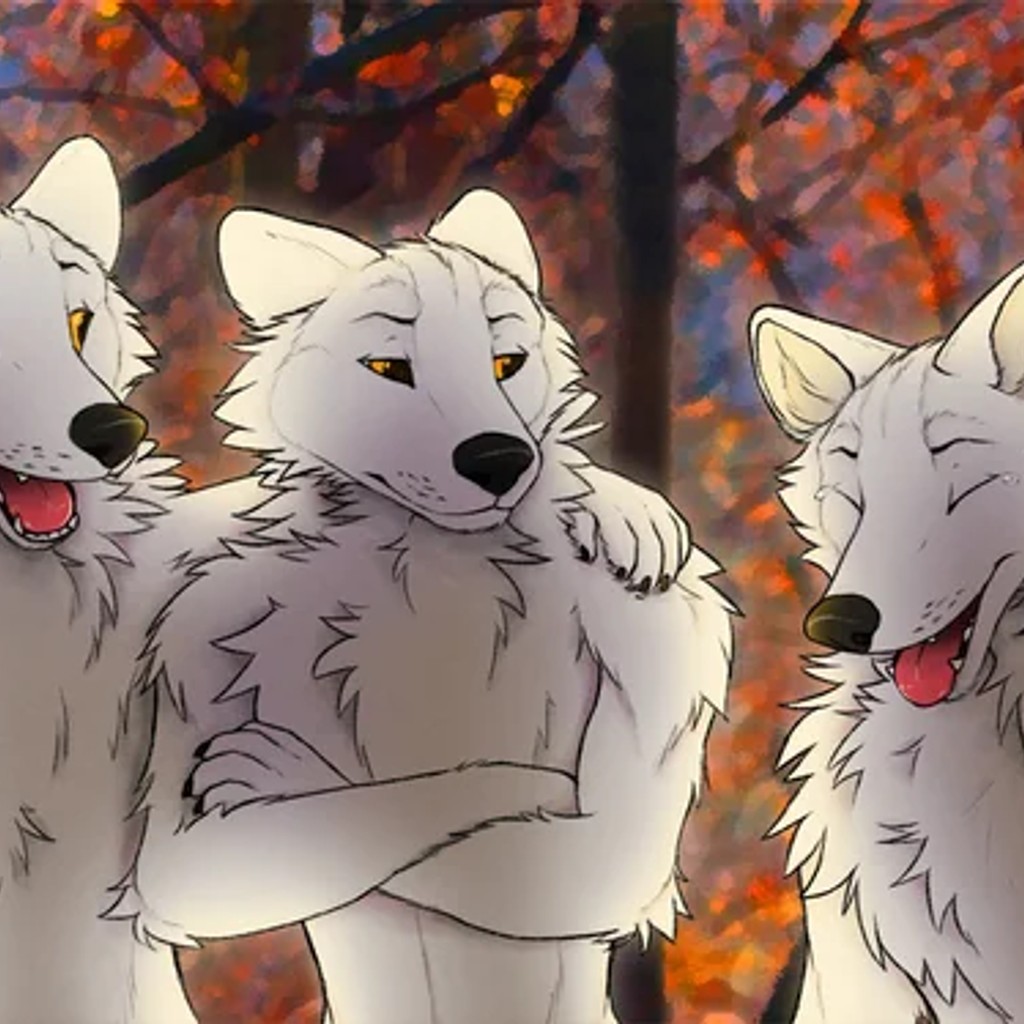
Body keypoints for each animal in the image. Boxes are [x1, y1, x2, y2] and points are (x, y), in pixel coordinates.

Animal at [116, 188, 736, 1024]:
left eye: (506, 363)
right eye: (389, 368)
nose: (499, 459)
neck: (435, 572)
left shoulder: (663, 638)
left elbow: (593, 850)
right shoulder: (198, 639)